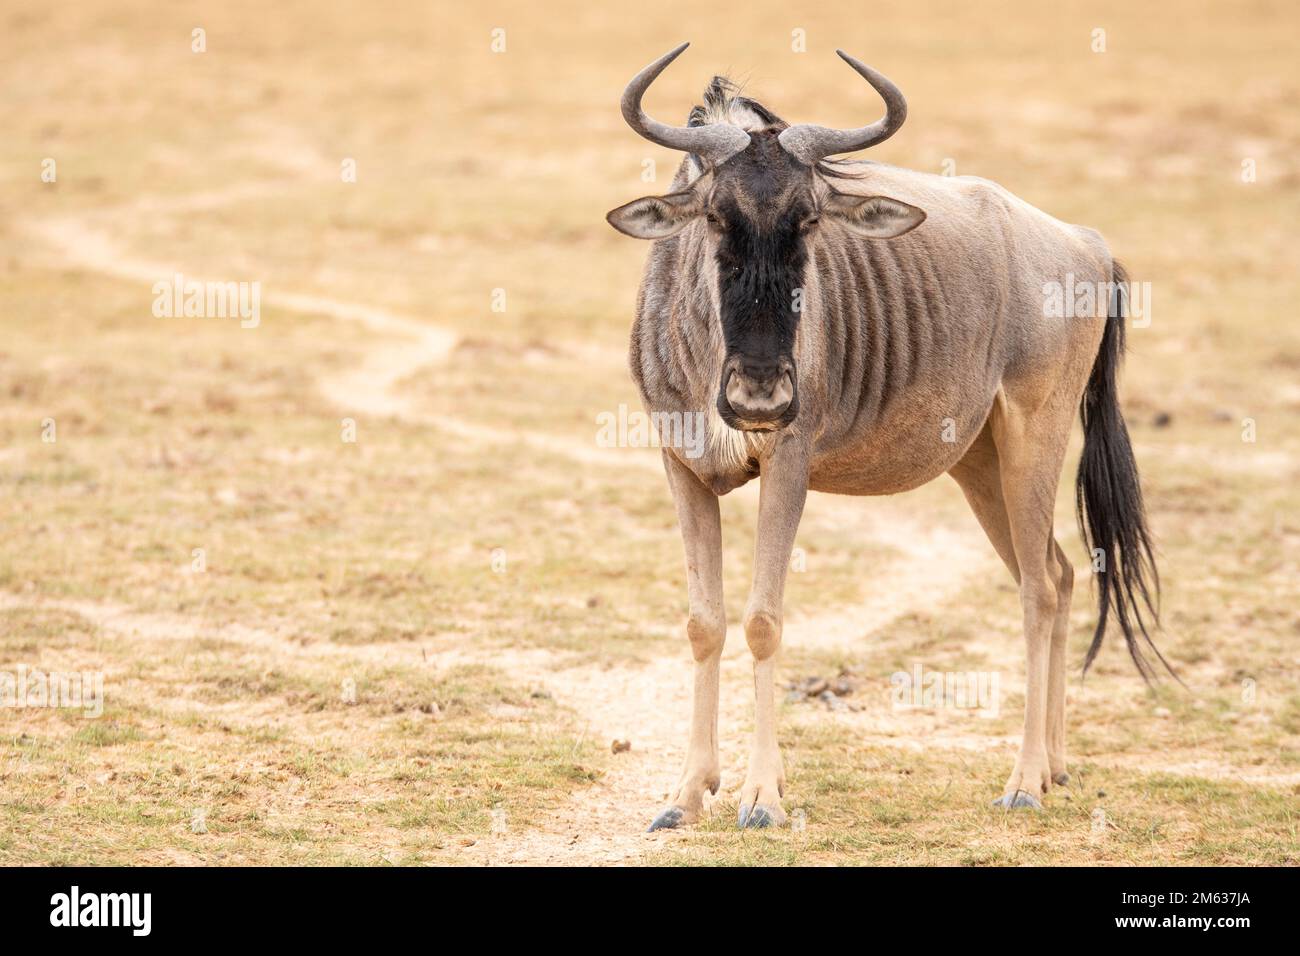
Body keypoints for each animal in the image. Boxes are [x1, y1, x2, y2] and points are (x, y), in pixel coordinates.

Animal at [606, 44, 1167, 830]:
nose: (760, 393)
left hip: (1036, 436)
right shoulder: (681, 466)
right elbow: (703, 624)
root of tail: (1086, 244)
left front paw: (761, 798)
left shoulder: (789, 461)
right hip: (978, 462)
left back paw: (1024, 780)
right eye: (715, 219)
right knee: (1056, 572)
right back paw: (1056, 768)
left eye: (810, 221)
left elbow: (762, 620)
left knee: (1040, 591)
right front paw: (685, 796)